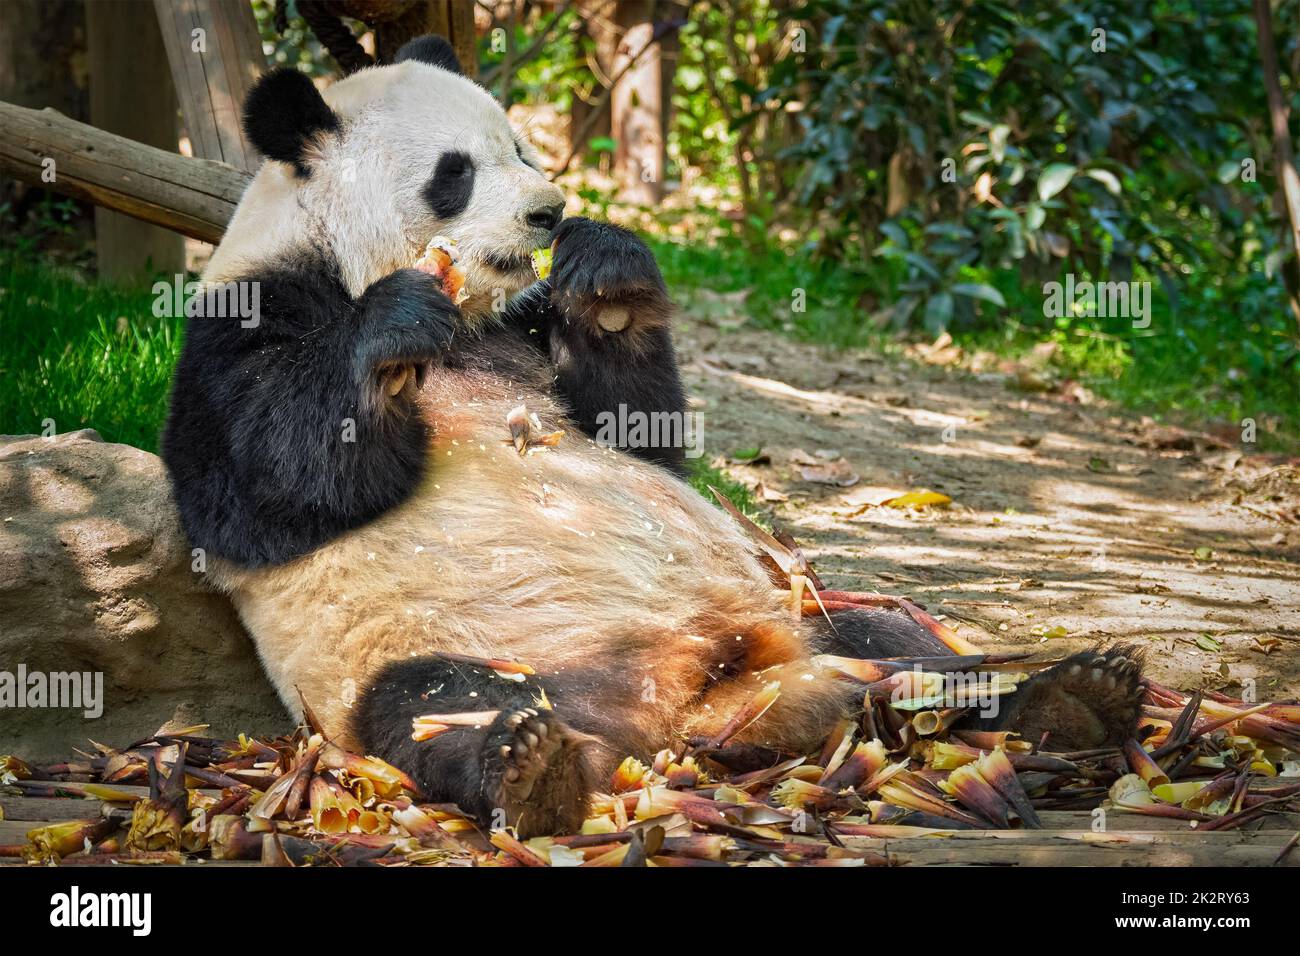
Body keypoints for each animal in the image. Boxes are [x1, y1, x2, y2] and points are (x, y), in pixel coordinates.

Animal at [161, 36, 1144, 837]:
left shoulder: (521, 327)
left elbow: (641, 433)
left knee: (895, 639)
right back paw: (531, 771)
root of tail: (690, 705)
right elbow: (264, 486)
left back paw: (1064, 701)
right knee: (436, 703)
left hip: (799, 608)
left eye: (519, 146)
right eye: (455, 172)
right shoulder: (240, 322)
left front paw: (607, 273)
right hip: (432, 645)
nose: (549, 211)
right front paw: (395, 327)